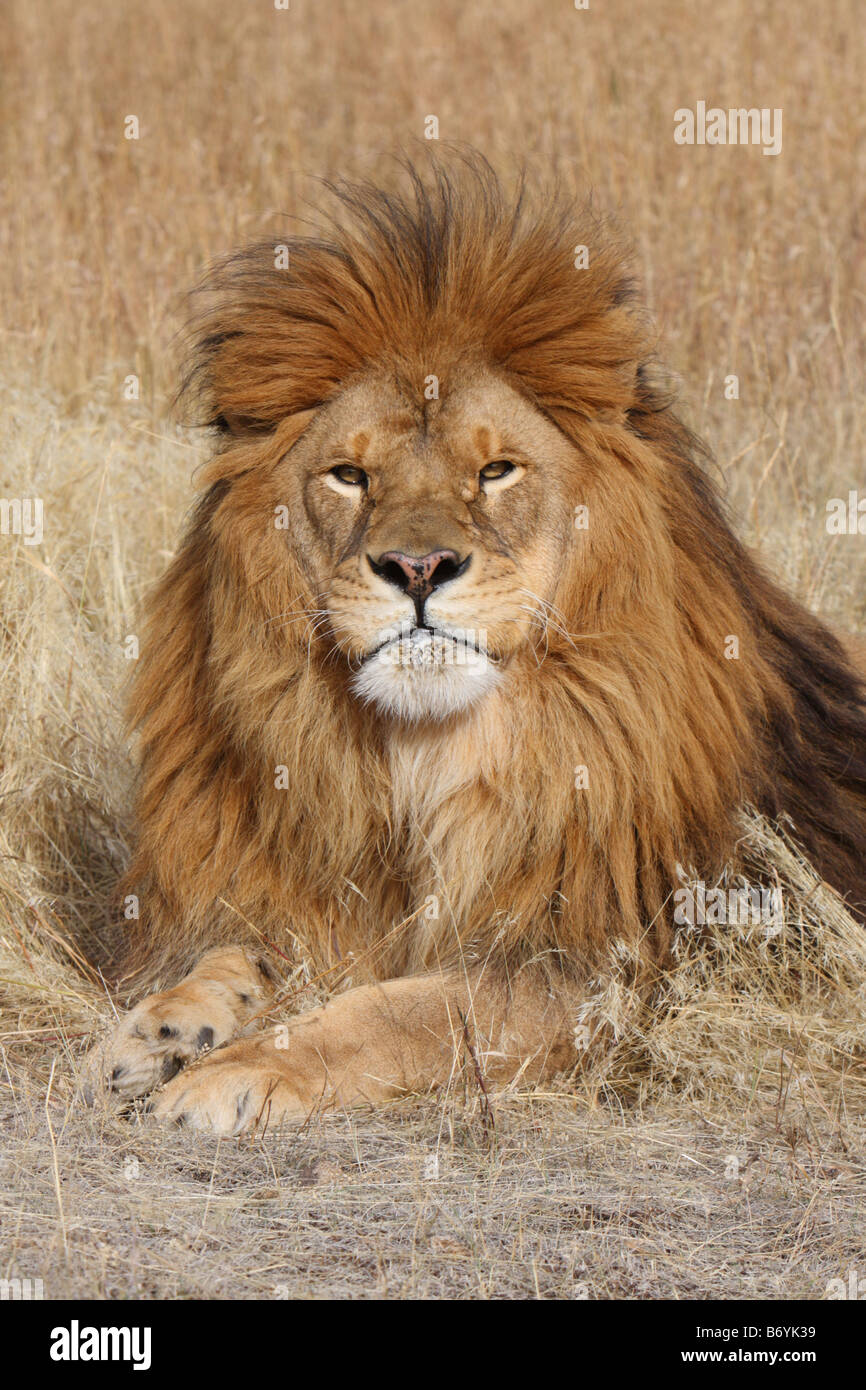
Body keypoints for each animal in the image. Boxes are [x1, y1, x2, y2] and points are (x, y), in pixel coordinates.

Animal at [87, 157, 866, 1135]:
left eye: (496, 471)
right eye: (350, 475)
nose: (418, 567)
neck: (425, 756)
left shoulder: (598, 973)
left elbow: (402, 1012)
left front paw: (238, 1072)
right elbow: (243, 952)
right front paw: (157, 1031)